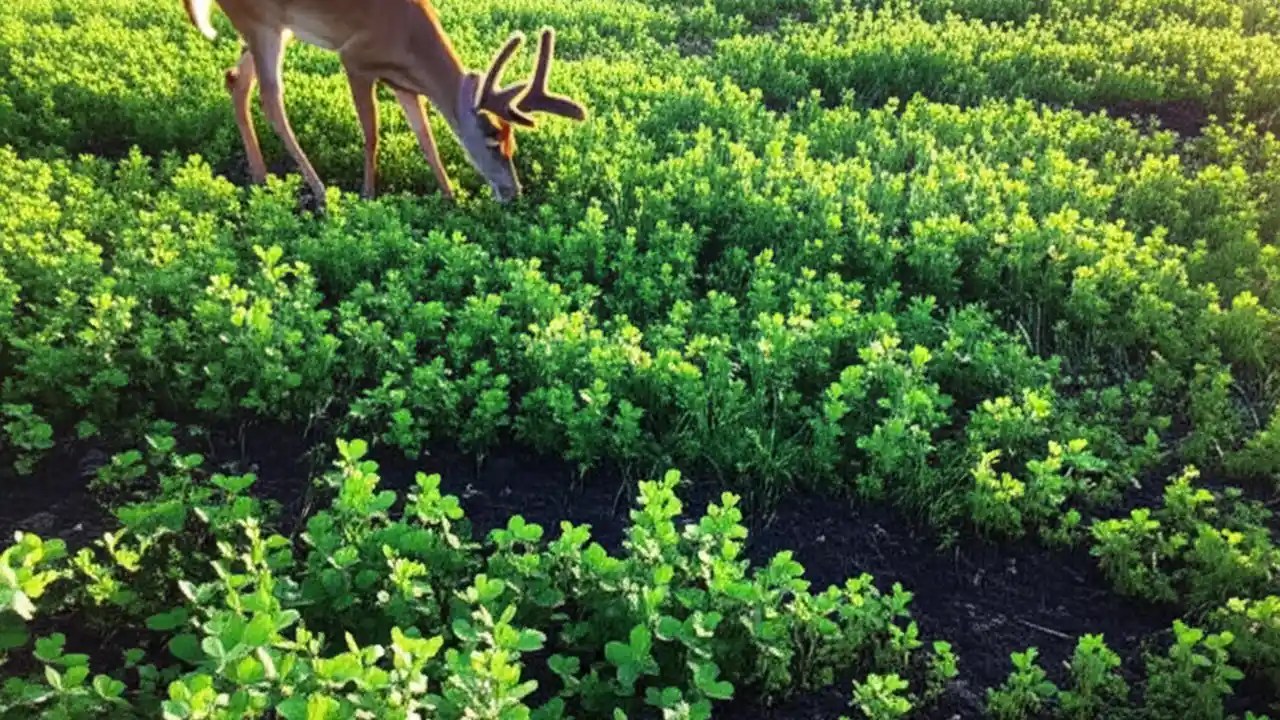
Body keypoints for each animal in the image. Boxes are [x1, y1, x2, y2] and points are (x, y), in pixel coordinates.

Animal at [180, 0, 588, 211]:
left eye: (512, 140)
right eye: (491, 138)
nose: (513, 192)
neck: (409, 40)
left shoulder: (405, 84)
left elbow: (427, 140)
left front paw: (450, 196)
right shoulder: (355, 58)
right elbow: (372, 133)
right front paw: (368, 195)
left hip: (272, 28)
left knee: (236, 81)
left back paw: (261, 177)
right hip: (264, 23)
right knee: (271, 100)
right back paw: (320, 191)